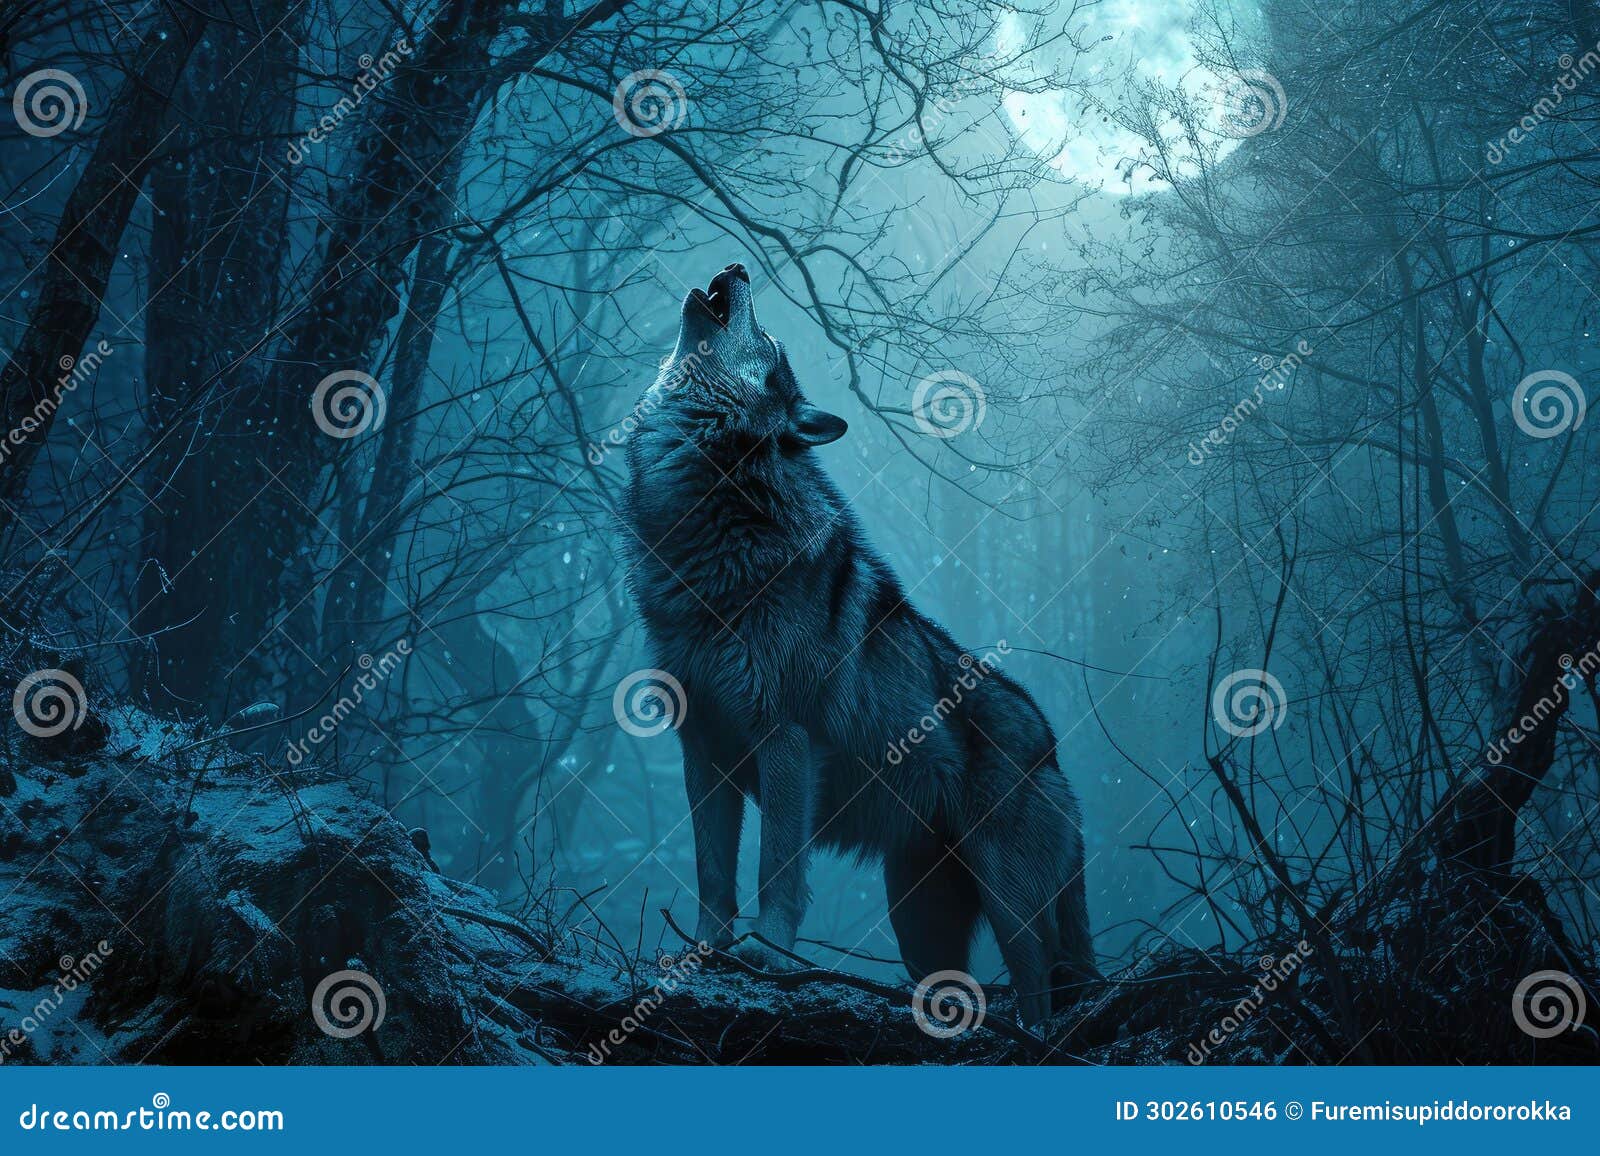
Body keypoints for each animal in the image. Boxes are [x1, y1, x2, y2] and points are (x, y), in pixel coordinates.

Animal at [623, 264, 1095, 1022]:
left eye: (769, 340)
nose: (736, 268)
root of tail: (1052, 747)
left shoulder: (785, 738)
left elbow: (776, 869)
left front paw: (767, 956)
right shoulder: (705, 750)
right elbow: (712, 874)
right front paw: (700, 954)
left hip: (1012, 909)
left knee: (1040, 996)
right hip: (917, 923)